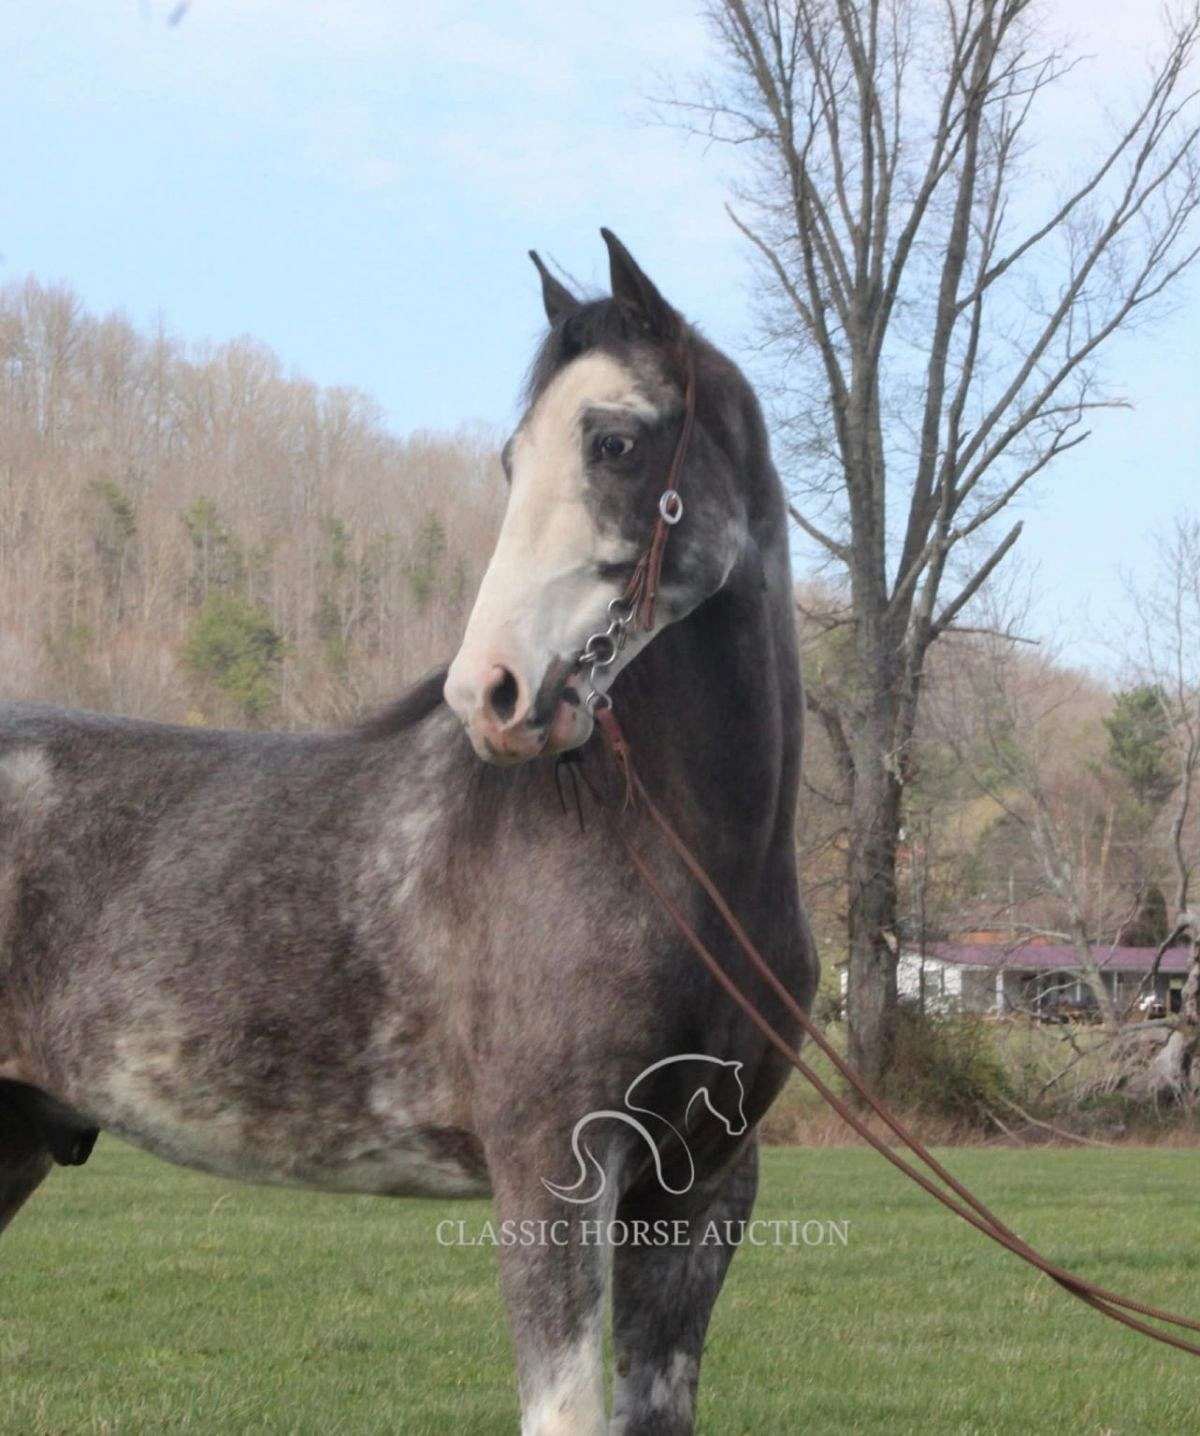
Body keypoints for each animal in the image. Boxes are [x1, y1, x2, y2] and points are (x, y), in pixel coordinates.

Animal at [0, 229, 818, 1435]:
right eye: (511, 461)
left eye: (614, 443)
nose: (494, 693)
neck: (682, 858)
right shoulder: (555, 1175)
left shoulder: (701, 1192)